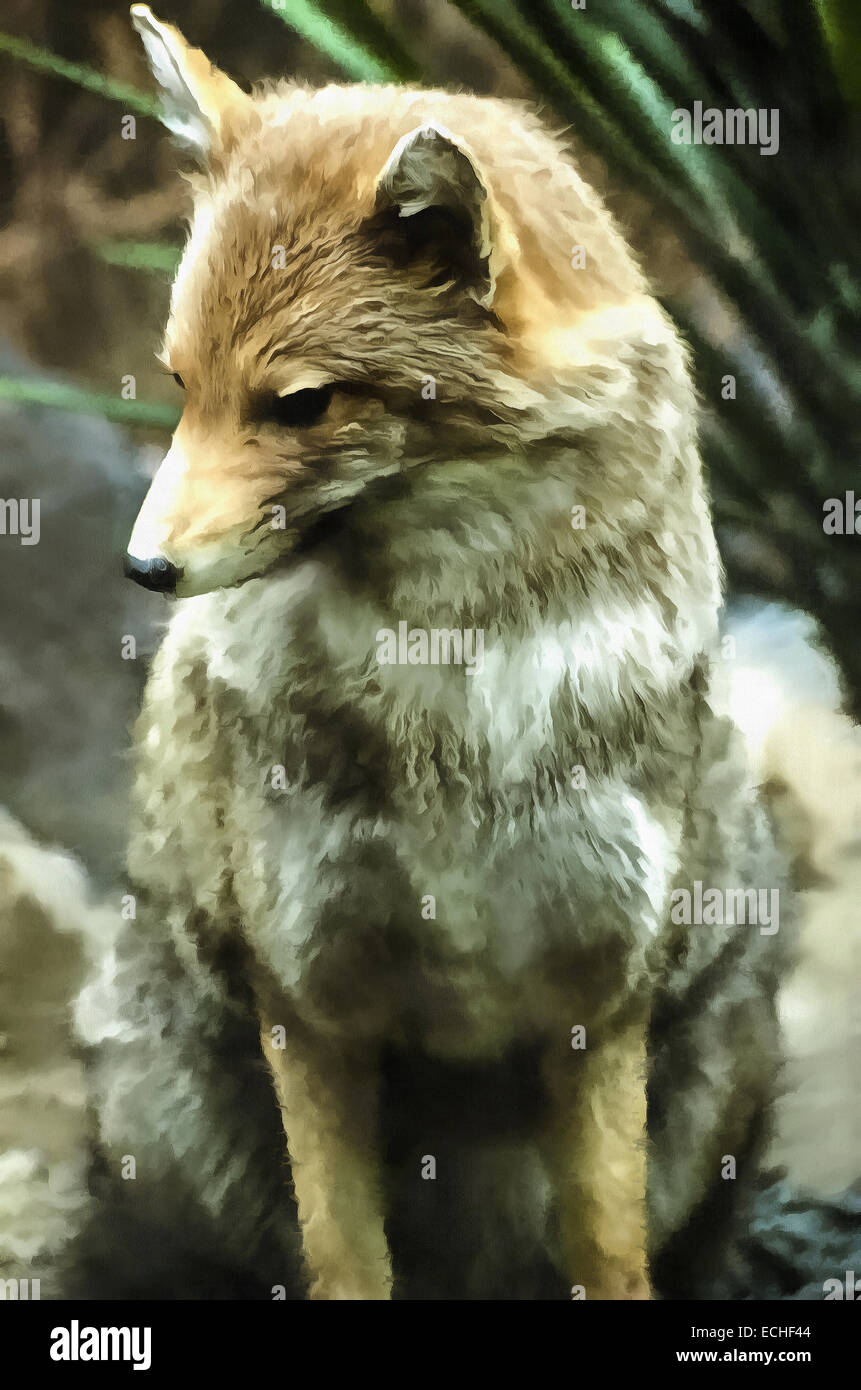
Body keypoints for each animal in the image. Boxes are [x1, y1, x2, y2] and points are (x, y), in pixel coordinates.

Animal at [103, 5, 790, 1300]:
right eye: (178, 385)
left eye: (299, 405)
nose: (145, 569)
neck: (456, 691)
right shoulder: (308, 1001)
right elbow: (346, 1261)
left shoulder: (599, 999)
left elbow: (611, 1252)